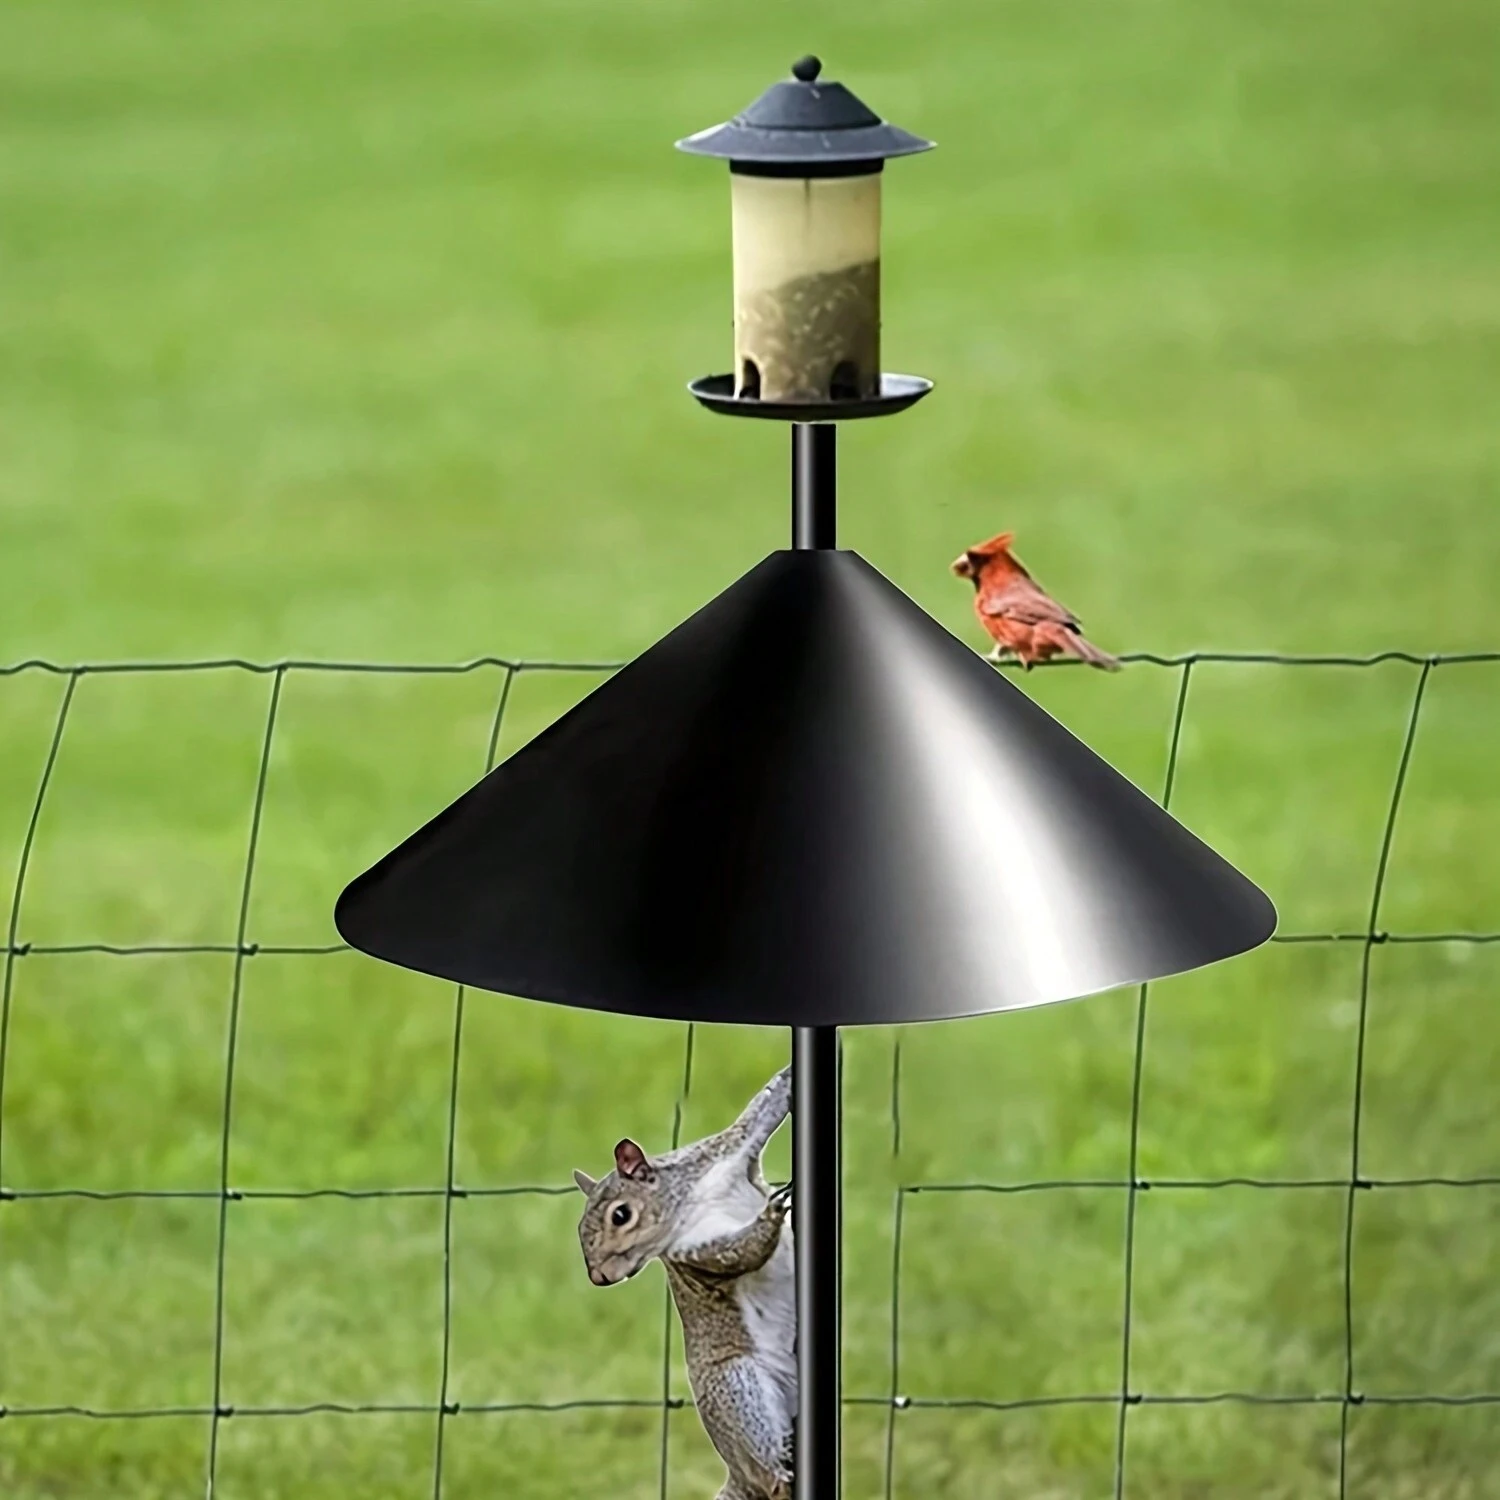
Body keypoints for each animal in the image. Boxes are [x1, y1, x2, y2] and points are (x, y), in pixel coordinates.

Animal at [575, 1065, 795, 1500]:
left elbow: (765, 1107)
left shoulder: (725, 1151)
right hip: (738, 1389)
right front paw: (771, 1215)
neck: (688, 1204)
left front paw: (787, 1081)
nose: (599, 1277)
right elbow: (743, 1252)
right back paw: (779, 1474)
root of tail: (736, 1475)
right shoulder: (695, 1255)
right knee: (764, 1470)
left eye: (621, 1215)